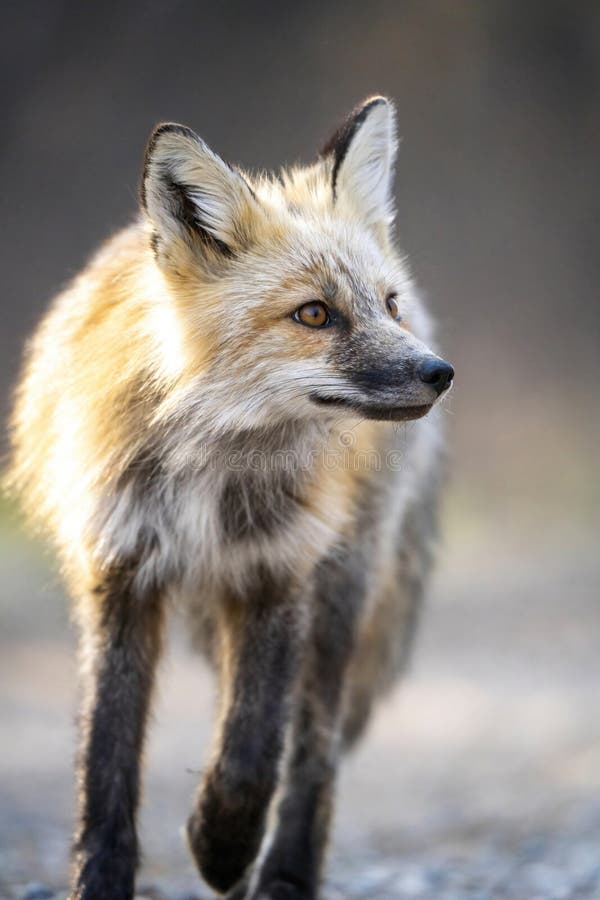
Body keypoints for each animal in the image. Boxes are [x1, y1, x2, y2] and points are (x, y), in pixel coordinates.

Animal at [6, 96, 453, 900]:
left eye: (386, 304)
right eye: (314, 314)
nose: (439, 372)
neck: (210, 470)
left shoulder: (278, 570)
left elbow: (253, 755)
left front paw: (219, 845)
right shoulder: (119, 573)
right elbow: (106, 757)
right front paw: (103, 877)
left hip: (343, 589)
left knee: (313, 753)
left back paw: (281, 874)